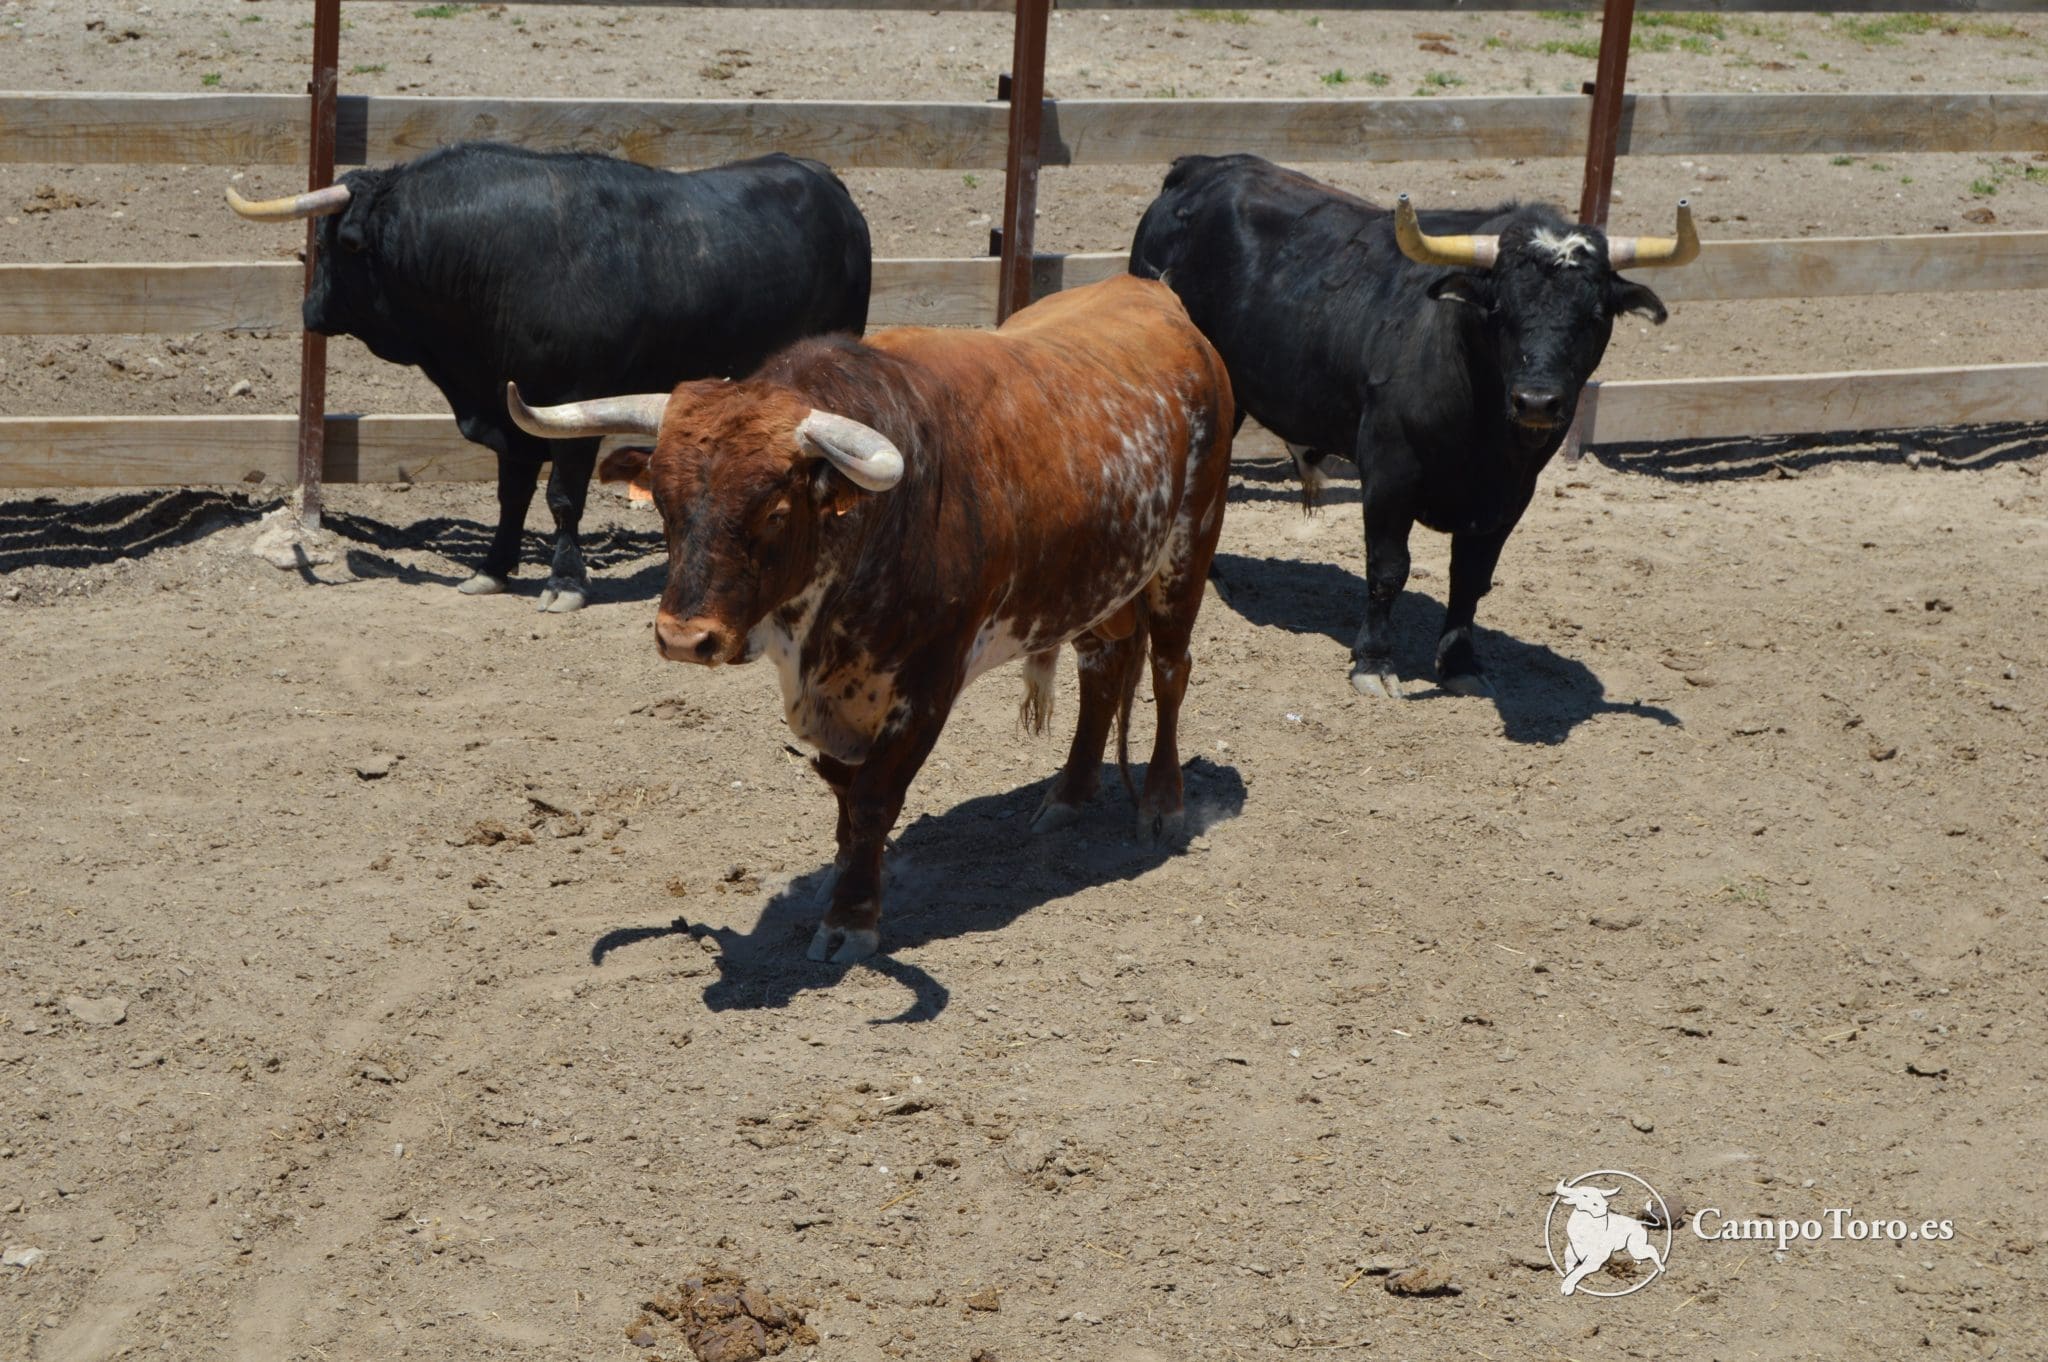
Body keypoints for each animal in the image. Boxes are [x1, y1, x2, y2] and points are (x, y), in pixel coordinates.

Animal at [227, 141, 871, 611]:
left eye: (335, 243)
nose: (311, 310)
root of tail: (823, 179)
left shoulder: (577, 407)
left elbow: (563, 497)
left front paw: (565, 582)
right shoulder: (510, 417)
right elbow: (512, 494)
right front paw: (492, 569)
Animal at [504, 274, 1233, 962]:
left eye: (774, 513)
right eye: (663, 503)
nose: (685, 639)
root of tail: (1155, 294)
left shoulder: (929, 685)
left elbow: (874, 798)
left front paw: (850, 919)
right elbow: (841, 792)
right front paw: (839, 873)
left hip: (1186, 551)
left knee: (1170, 668)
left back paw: (1163, 804)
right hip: (1094, 584)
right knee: (1103, 670)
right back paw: (1069, 794)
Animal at [1130, 154, 1697, 697]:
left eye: (1595, 313)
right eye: (1499, 307)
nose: (1537, 401)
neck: (1484, 435)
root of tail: (1202, 168)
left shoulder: (1514, 494)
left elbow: (1471, 578)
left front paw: (1460, 663)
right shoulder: (1389, 473)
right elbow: (1388, 570)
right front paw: (1374, 663)